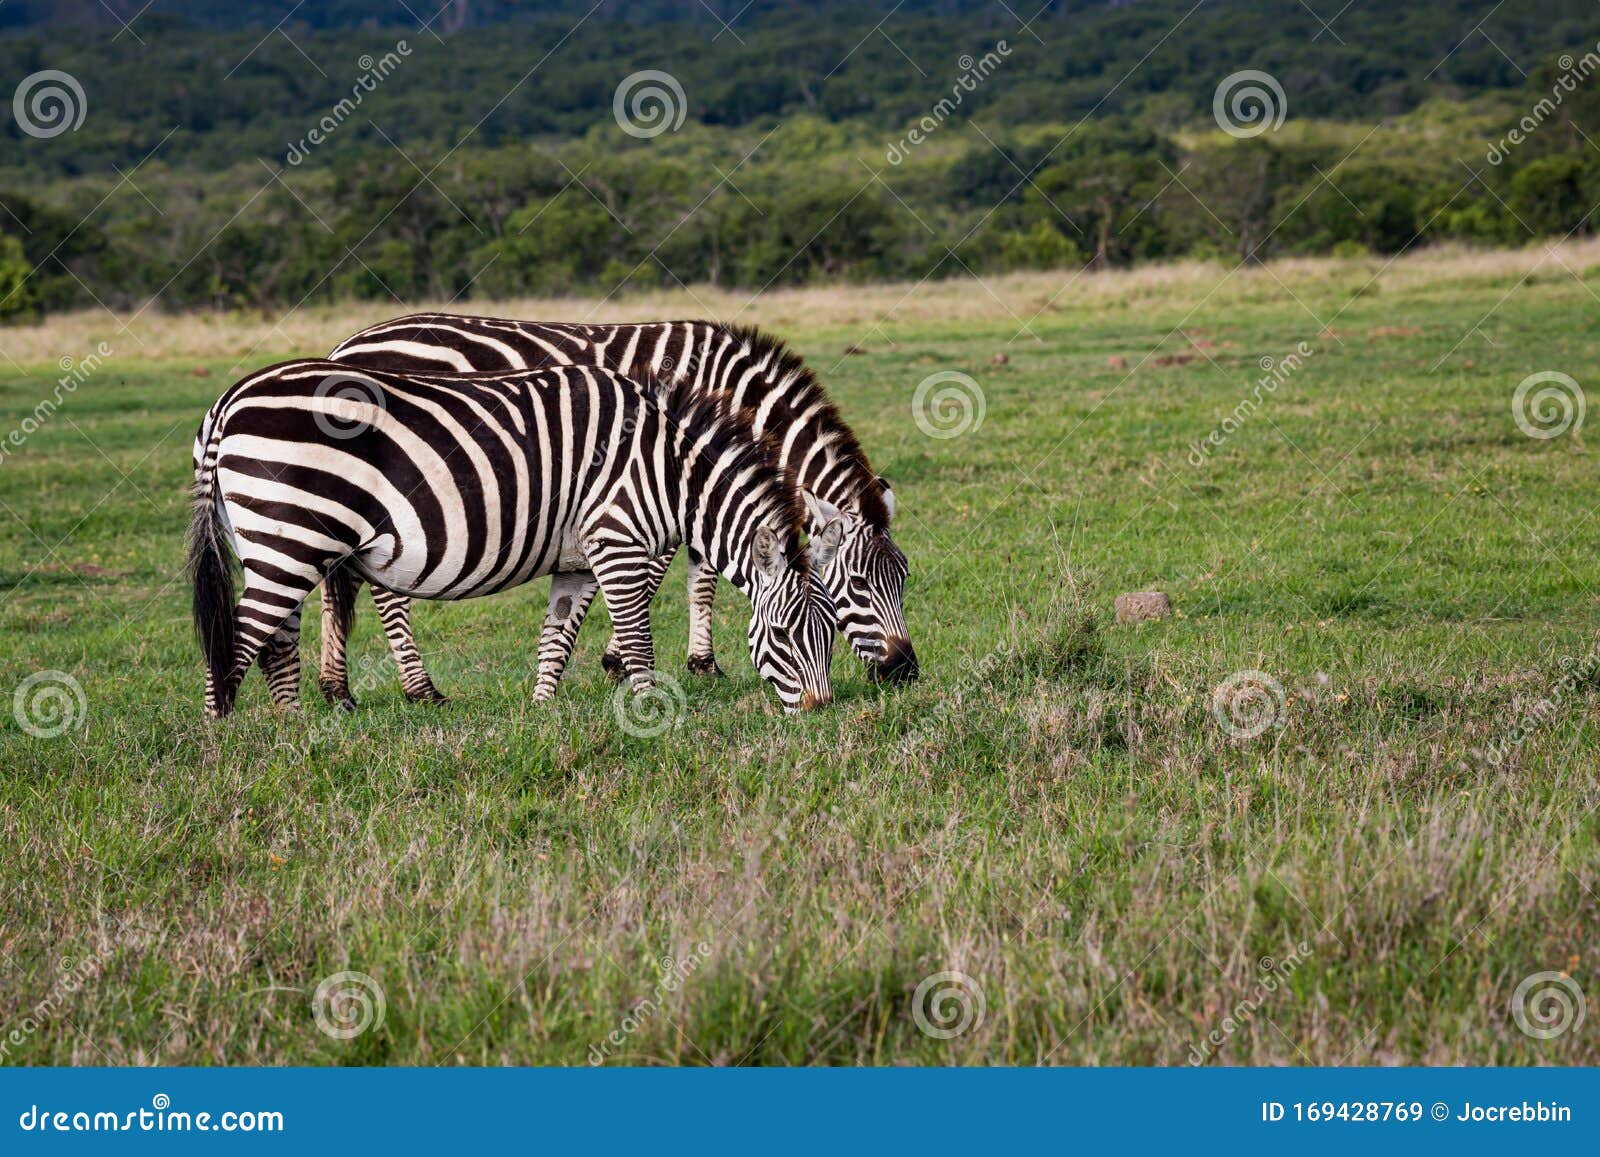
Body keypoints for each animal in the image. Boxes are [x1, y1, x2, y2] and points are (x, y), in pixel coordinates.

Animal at [188, 359, 839, 717]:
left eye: (830, 632)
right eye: (784, 635)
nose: (820, 709)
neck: (666, 472)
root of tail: (229, 398)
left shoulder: (579, 558)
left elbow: (557, 638)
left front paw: (542, 713)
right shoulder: (617, 542)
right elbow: (637, 644)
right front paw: (652, 714)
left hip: (274, 542)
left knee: (275, 641)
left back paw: (295, 735)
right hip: (292, 537)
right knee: (236, 640)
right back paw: (225, 746)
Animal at [320, 316, 916, 707]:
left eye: (904, 579)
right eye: (859, 584)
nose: (905, 671)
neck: (727, 386)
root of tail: (345, 346)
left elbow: (697, 572)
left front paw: (697, 661)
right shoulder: (663, 470)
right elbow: (668, 573)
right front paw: (627, 662)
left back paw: (336, 687)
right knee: (383, 589)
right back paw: (419, 690)